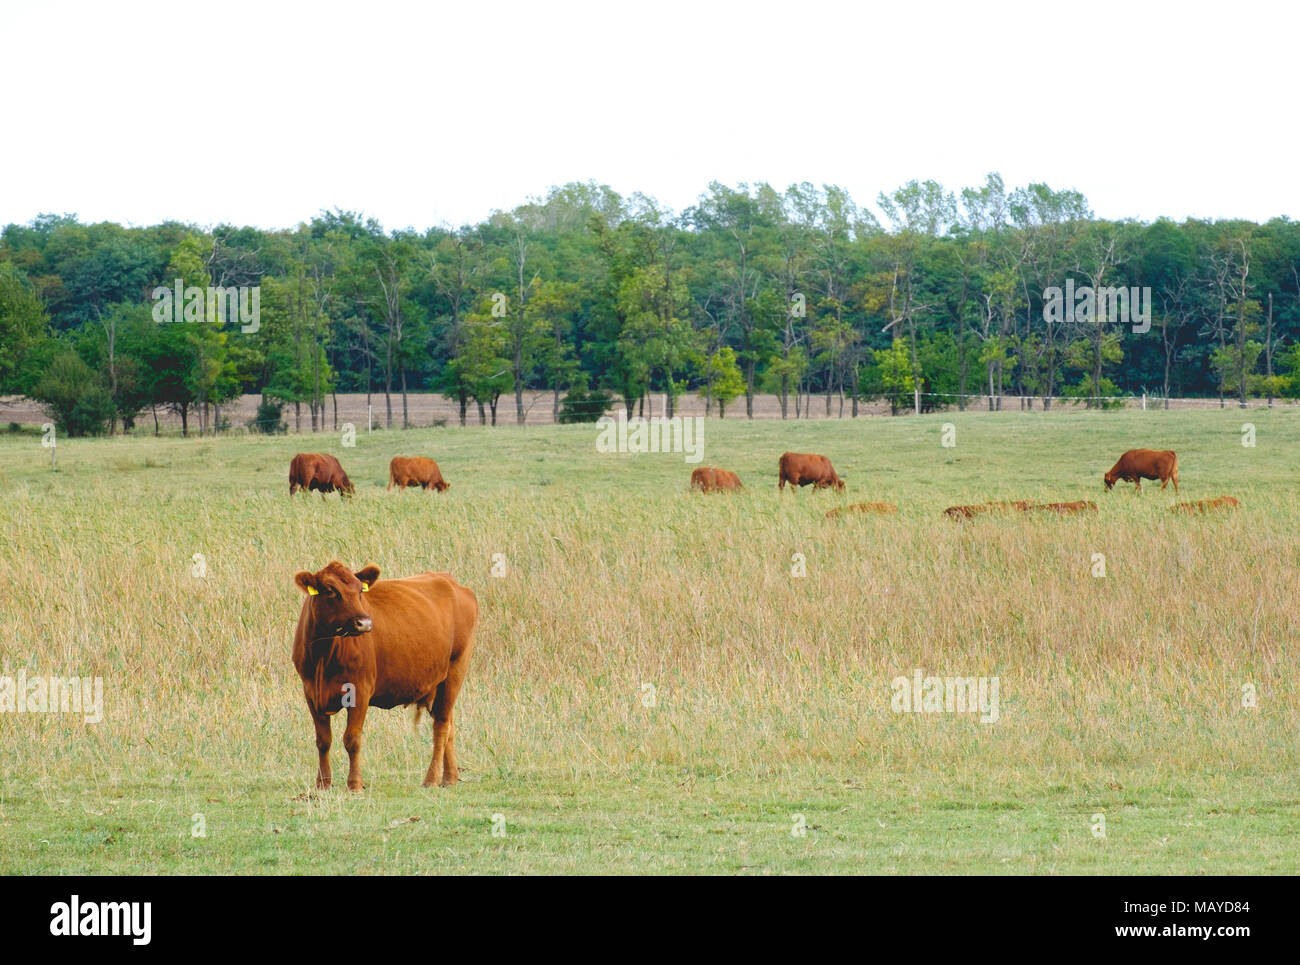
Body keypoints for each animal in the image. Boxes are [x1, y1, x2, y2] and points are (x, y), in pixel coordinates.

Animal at [291, 561, 478, 791]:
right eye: (330, 590)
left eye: (359, 591)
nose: (364, 623)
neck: (322, 657)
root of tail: (449, 580)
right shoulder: (311, 693)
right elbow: (323, 740)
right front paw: (323, 784)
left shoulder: (360, 690)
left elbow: (352, 739)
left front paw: (355, 784)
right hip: (437, 683)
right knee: (448, 726)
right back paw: (449, 778)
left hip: (455, 670)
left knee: (441, 726)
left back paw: (431, 779)